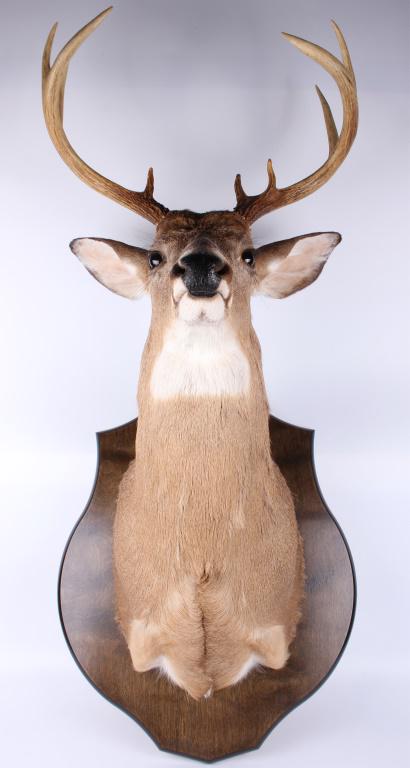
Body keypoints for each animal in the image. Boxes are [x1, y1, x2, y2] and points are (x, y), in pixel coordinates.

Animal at [42, 7, 358, 700]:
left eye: (249, 254)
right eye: (156, 256)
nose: (202, 267)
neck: (205, 562)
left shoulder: (275, 628)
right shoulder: (138, 630)